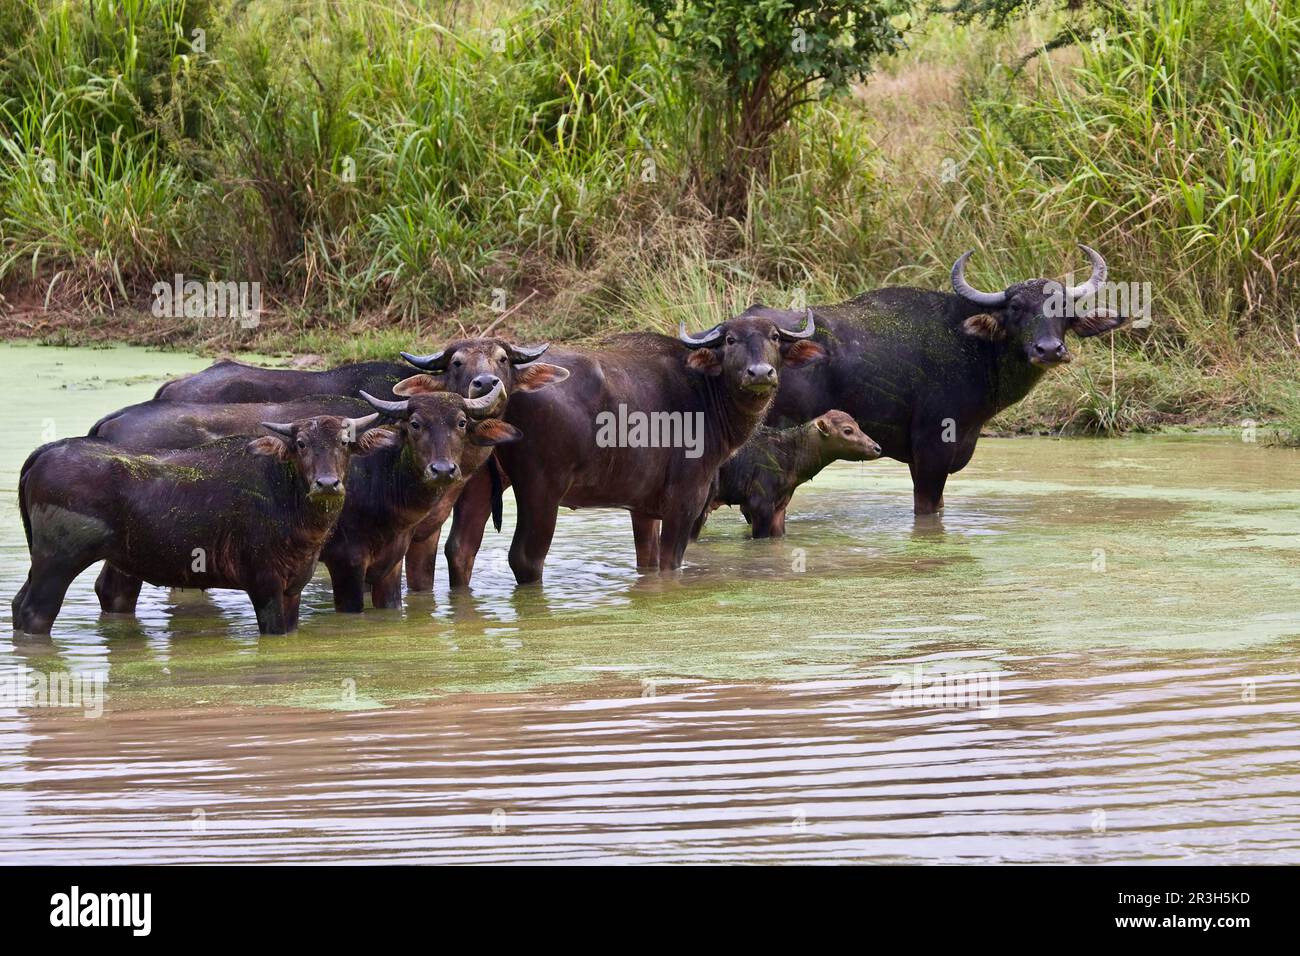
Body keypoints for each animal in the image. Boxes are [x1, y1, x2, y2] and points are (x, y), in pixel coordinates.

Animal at [14, 413, 382, 636]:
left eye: (344, 443)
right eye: (302, 444)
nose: (327, 484)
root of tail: (44, 453)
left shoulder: (293, 588)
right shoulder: (264, 585)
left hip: (46, 563)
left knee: (18, 604)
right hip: (59, 562)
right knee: (35, 613)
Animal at [693, 409, 882, 539]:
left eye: (858, 426)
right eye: (847, 430)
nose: (877, 447)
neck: (792, 462)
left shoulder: (780, 506)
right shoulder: (758, 503)